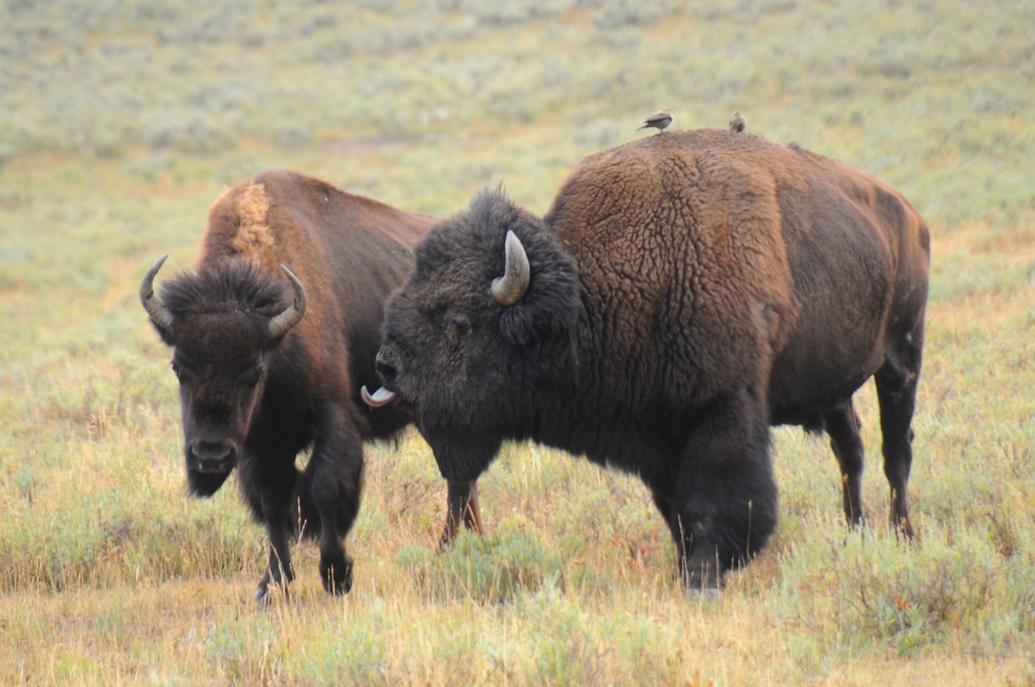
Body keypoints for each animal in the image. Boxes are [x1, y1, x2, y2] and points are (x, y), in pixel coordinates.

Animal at [140, 170, 483, 601]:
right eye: (178, 367)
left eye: (254, 370)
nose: (211, 454)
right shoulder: (261, 441)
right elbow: (272, 500)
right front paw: (271, 586)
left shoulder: (333, 414)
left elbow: (325, 488)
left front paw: (337, 574)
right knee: (464, 478)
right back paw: (472, 542)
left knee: (457, 479)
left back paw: (446, 550)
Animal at [366, 129, 930, 588]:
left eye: (459, 323)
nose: (387, 367)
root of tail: (908, 212)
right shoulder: (659, 436)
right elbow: (677, 512)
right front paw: (685, 569)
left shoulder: (722, 414)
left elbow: (717, 505)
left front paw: (703, 577)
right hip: (836, 387)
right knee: (850, 452)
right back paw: (856, 534)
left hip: (901, 361)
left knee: (895, 452)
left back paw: (903, 537)